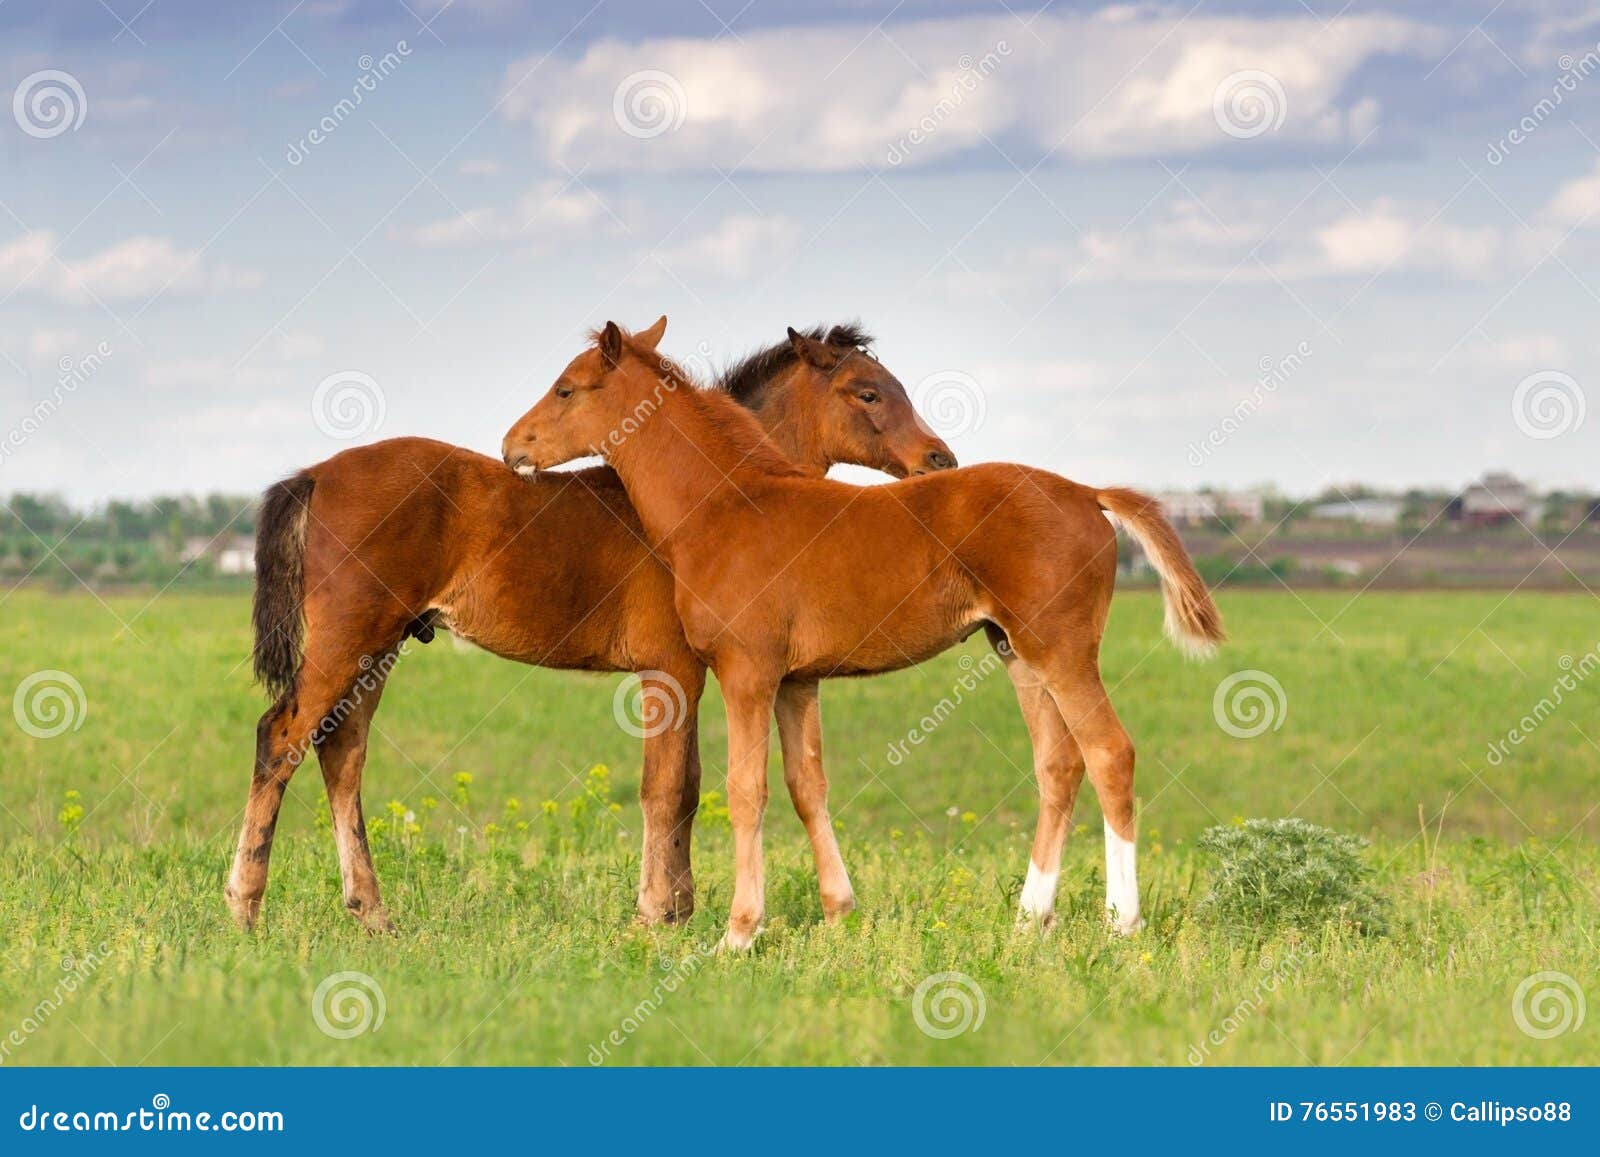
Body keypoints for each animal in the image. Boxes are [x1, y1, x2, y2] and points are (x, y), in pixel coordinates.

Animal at [226, 319, 956, 934]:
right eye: (868, 392)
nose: (939, 459)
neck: (710, 496)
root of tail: (315, 474)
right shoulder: (670, 667)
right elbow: (665, 788)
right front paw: (655, 912)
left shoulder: (692, 671)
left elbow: (688, 786)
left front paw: (679, 906)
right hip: (346, 642)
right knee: (281, 739)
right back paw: (245, 905)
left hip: (377, 650)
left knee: (342, 752)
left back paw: (371, 912)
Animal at [501, 319, 1224, 949]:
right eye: (868, 391)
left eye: (566, 388)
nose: (513, 445)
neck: (726, 505)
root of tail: (1087, 492)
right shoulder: (796, 680)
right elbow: (806, 785)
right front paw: (837, 913)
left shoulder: (747, 672)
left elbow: (745, 791)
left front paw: (739, 933)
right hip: (1016, 651)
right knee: (1059, 764)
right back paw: (1028, 918)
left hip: (1063, 650)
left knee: (1109, 753)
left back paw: (1121, 922)